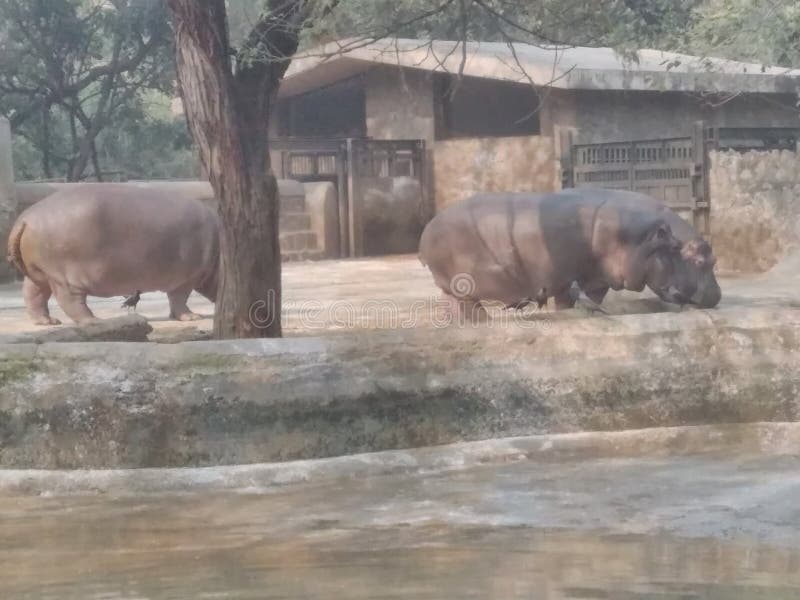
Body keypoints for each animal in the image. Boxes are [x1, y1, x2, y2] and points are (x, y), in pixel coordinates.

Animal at [6, 184, 219, 325]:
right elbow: (179, 298)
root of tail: (25, 219)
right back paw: (93, 321)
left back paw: (48, 321)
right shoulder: (187, 277)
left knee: (33, 293)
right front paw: (192, 317)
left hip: (39, 272)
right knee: (70, 301)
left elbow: (176, 299)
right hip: (64, 277)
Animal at [418, 188, 721, 317]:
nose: (717, 296)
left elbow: (582, 299)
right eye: (697, 258)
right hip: (461, 287)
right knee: (465, 307)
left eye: (713, 258)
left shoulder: (593, 278)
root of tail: (427, 231)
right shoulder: (570, 275)